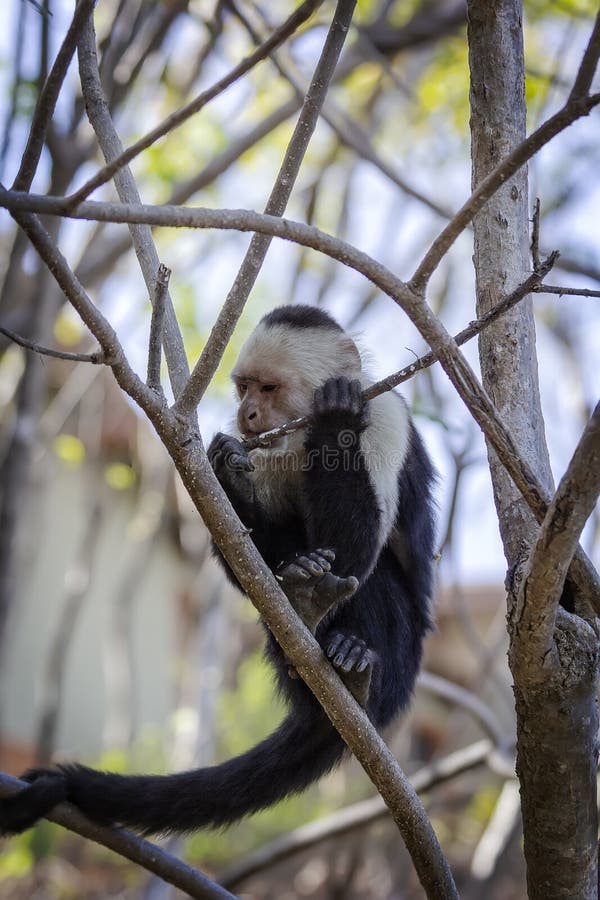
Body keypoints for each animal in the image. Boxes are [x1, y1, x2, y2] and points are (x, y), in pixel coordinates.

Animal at [0, 304, 436, 837]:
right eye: (243, 387)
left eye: (268, 388)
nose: (248, 415)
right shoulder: (258, 449)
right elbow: (248, 560)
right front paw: (227, 472)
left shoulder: (385, 417)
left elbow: (355, 552)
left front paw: (335, 421)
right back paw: (305, 614)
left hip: (400, 651)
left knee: (378, 579)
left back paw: (349, 656)